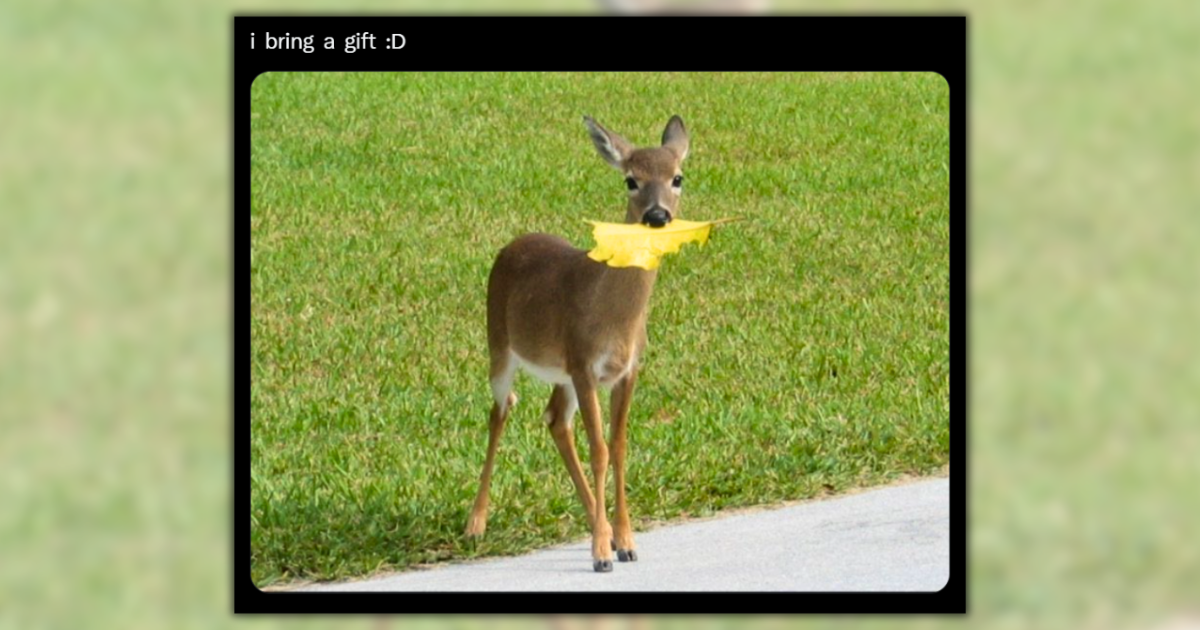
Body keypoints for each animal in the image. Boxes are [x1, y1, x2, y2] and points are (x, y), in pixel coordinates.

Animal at [464, 115, 690, 572]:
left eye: (677, 177)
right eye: (630, 180)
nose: (658, 215)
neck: (614, 317)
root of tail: (513, 243)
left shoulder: (626, 369)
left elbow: (618, 447)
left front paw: (625, 541)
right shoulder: (585, 364)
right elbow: (599, 449)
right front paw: (602, 552)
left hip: (561, 371)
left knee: (554, 419)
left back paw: (596, 524)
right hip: (499, 344)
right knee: (500, 410)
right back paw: (475, 524)